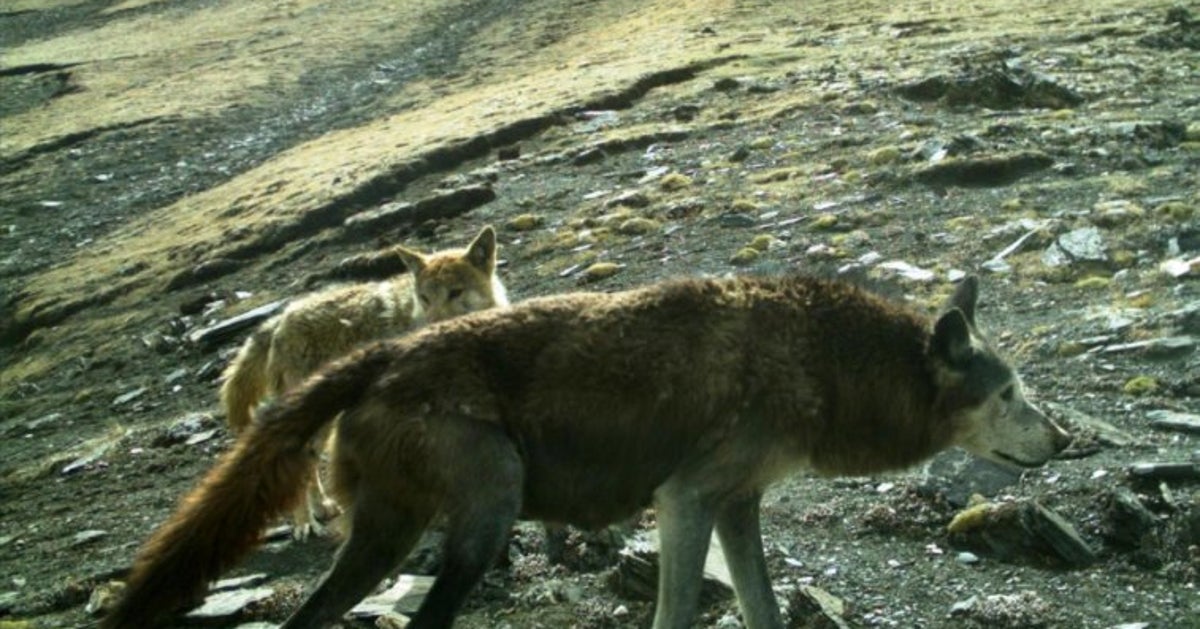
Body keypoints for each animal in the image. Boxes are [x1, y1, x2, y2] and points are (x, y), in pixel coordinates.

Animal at [104, 275, 1070, 629]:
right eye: (1010, 393)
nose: (1065, 437)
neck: (820, 356)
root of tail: (380, 354)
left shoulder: (737, 506)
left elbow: (760, 608)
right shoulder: (686, 499)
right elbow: (676, 615)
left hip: (391, 537)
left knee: (309, 617)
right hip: (483, 514)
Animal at [219, 224, 507, 538]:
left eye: (455, 292)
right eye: (424, 298)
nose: (430, 328)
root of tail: (279, 320)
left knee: (309, 464)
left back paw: (323, 508)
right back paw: (305, 521)